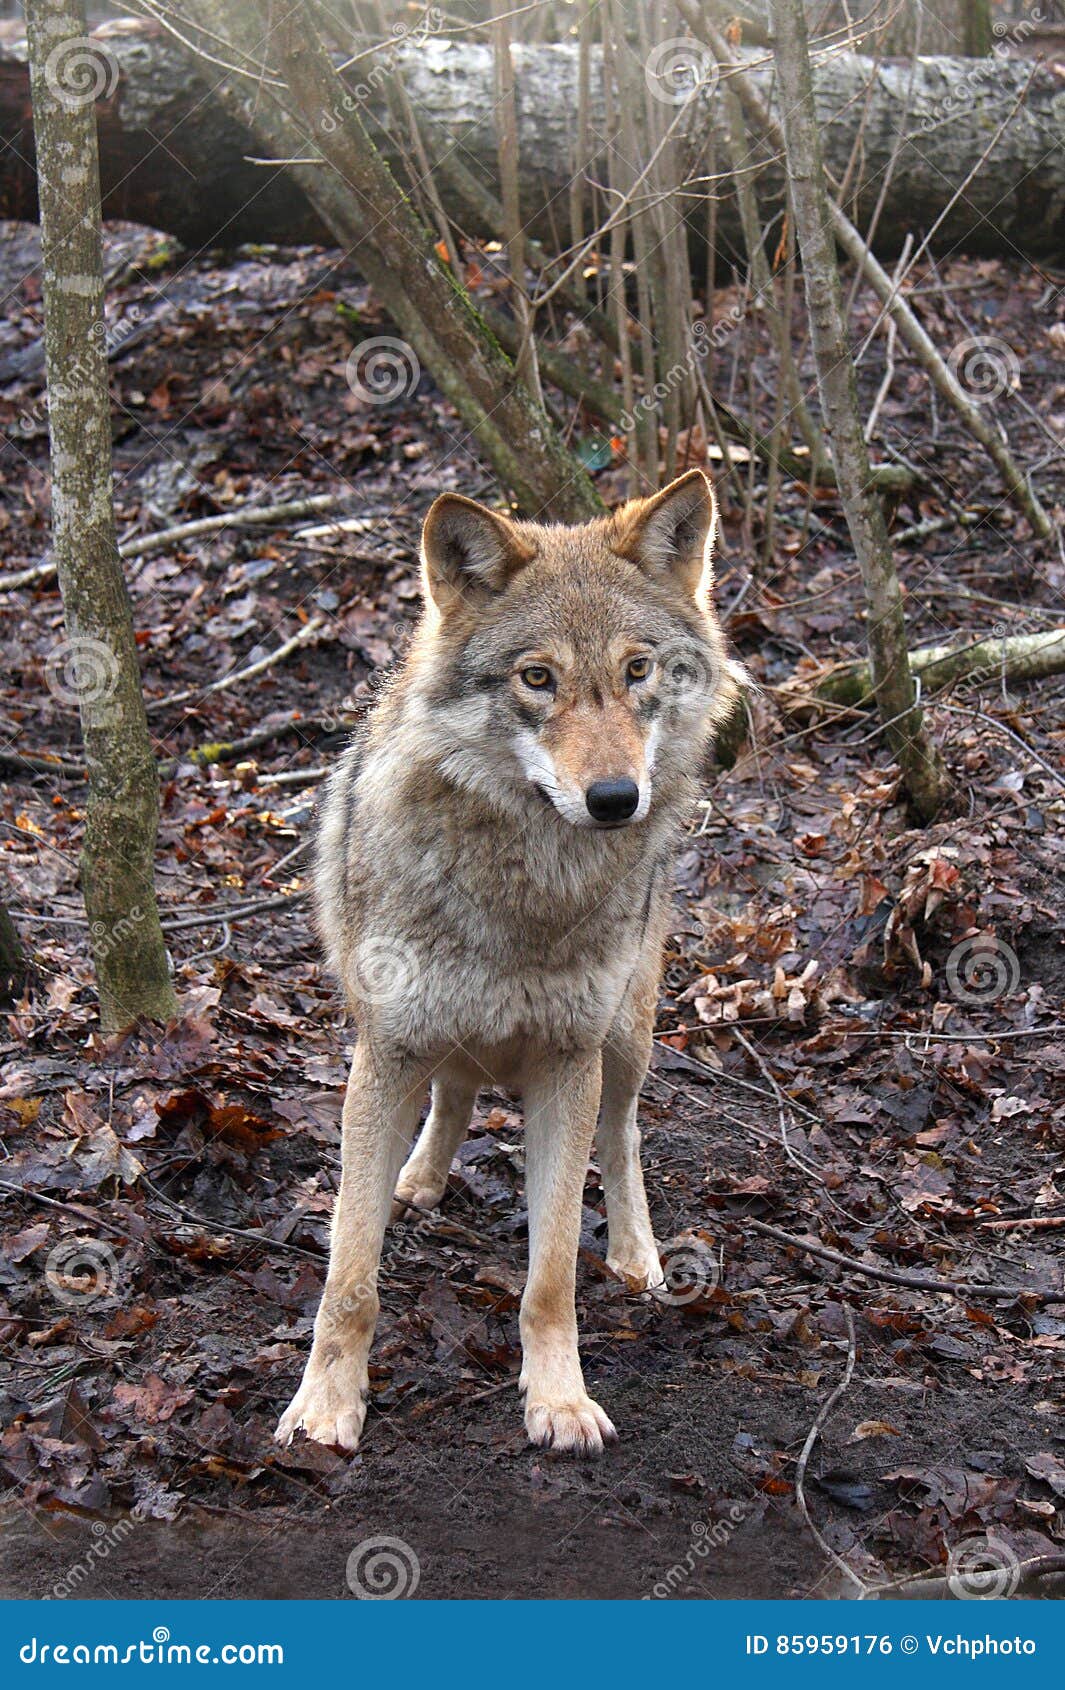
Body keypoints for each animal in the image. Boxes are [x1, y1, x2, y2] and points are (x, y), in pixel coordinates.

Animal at [276, 469, 740, 1457]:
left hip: (625, 1038)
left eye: (637, 670)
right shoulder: (384, 1053)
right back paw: (416, 1180)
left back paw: (636, 1256)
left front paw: (558, 1402)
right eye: (538, 677)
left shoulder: (567, 1063)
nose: (614, 799)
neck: (524, 890)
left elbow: (551, 1273)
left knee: (623, 1134)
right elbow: (349, 1272)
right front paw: (325, 1409)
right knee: (451, 1096)